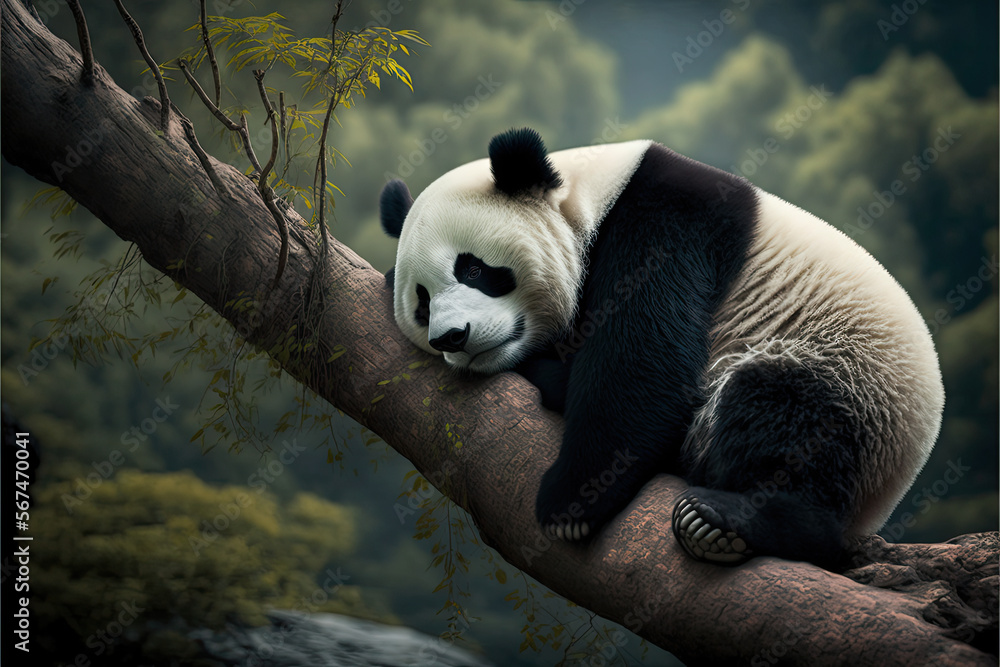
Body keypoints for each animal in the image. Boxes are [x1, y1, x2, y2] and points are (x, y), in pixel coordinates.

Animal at [379, 127, 944, 567]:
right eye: (422, 304)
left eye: (473, 269)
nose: (451, 337)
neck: (590, 198)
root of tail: (889, 491)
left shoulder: (666, 223)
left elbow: (641, 358)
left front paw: (572, 502)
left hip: (847, 376)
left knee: (785, 412)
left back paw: (729, 521)